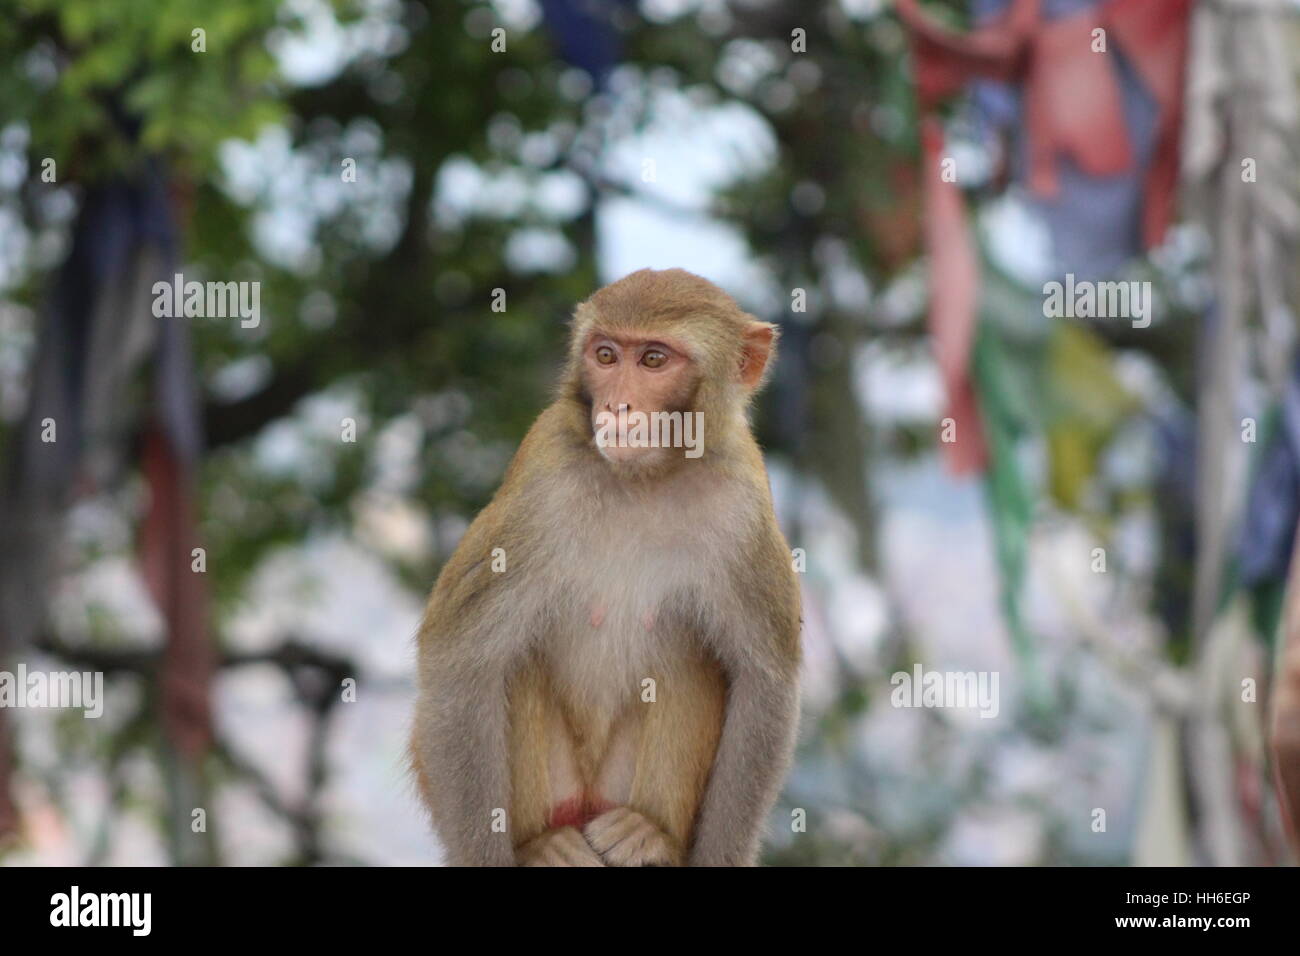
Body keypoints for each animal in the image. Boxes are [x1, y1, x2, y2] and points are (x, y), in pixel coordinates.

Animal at [410, 267, 801, 866]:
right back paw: (542, 846)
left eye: (654, 360)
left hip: (618, 788)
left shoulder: (745, 501)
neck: (646, 478)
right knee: (511, 666)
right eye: (606, 355)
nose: (617, 407)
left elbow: (765, 682)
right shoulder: (543, 478)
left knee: (688, 662)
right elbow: (460, 659)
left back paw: (649, 835)